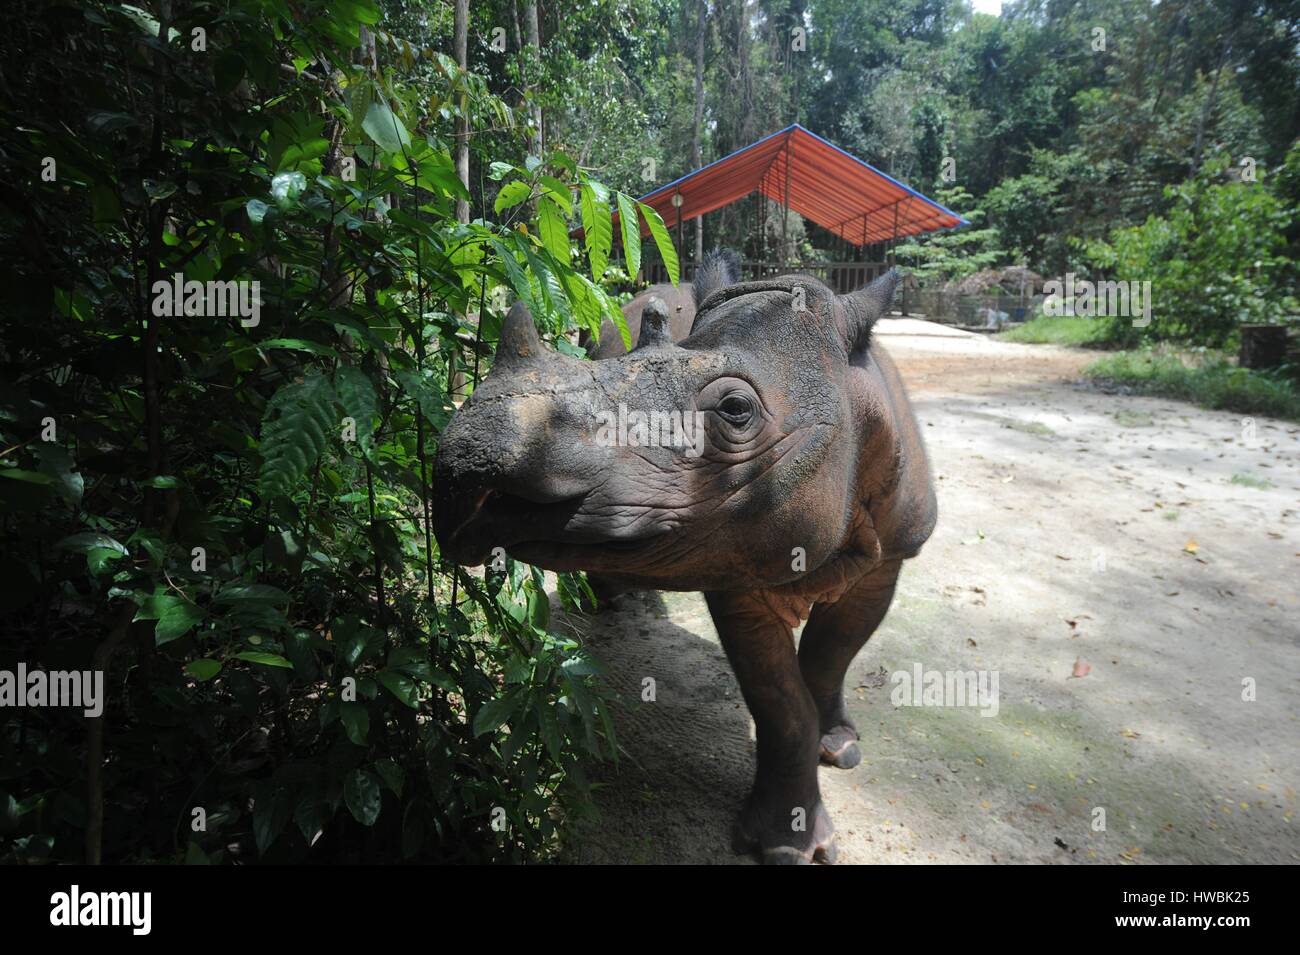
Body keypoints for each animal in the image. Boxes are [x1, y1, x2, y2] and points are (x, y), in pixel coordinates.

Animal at [433, 252, 937, 864]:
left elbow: (829, 658)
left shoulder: (892, 553)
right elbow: (779, 699)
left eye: (736, 410)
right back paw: (611, 604)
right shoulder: (730, 564)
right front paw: (786, 845)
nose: (467, 462)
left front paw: (836, 749)